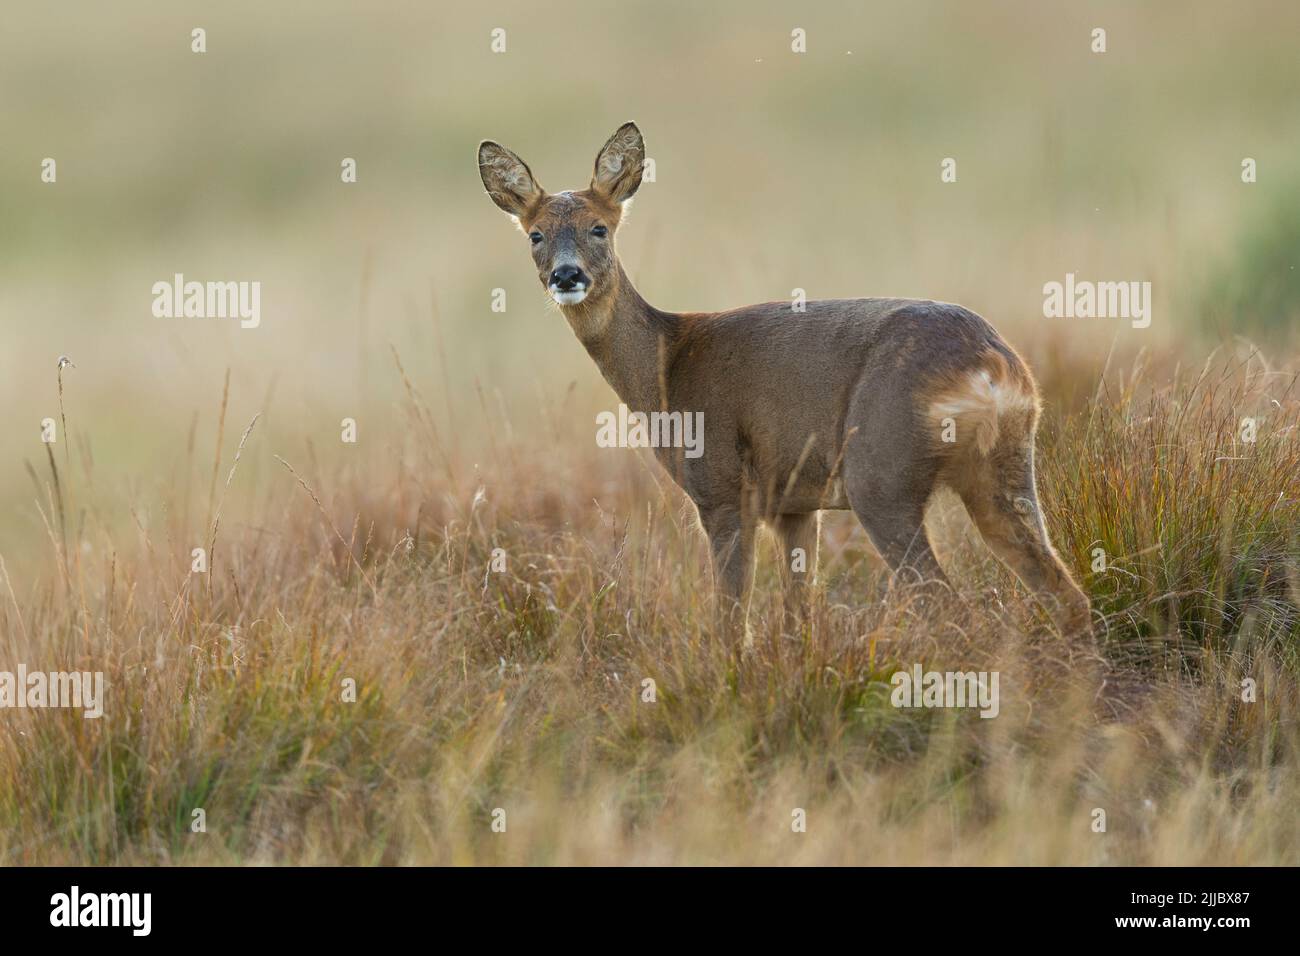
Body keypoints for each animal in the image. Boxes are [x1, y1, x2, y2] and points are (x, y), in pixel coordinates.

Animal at [477, 122, 1093, 640]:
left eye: (599, 228)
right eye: (535, 235)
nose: (567, 275)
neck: (666, 370)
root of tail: (991, 366)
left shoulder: (722, 488)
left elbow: (733, 621)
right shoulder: (794, 505)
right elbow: (800, 617)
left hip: (881, 474)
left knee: (946, 602)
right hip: (1006, 467)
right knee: (1064, 592)